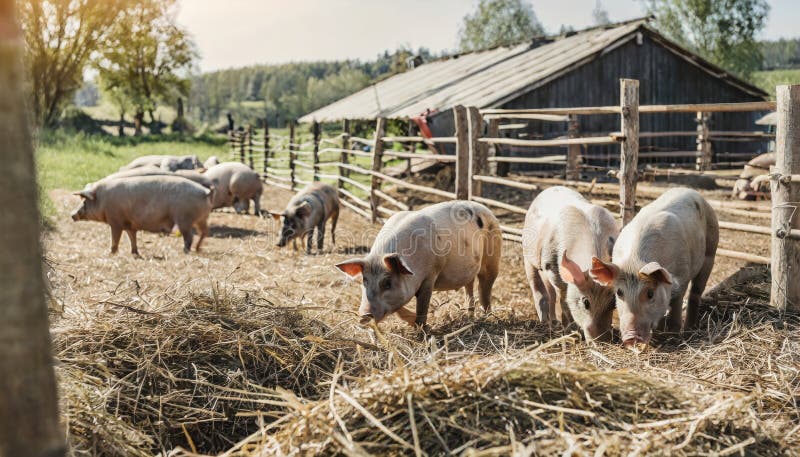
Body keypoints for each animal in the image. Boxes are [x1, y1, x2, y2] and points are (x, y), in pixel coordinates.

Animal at [71, 175, 212, 255]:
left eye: (84, 202)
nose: (72, 215)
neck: (102, 199)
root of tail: (205, 192)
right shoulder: (129, 224)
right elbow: (132, 238)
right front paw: (134, 253)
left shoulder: (116, 221)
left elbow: (115, 239)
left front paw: (110, 253)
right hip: (201, 218)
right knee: (204, 232)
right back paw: (197, 248)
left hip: (184, 218)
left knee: (189, 236)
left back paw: (185, 251)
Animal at [335, 201, 502, 328]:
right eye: (364, 281)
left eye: (387, 283)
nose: (364, 315)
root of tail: (488, 210)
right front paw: (411, 322)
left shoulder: (430, 275)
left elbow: (422, 305)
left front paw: (421, 328)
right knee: (469, 287)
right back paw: (470, 316)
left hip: (493, 259)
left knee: (485, 288)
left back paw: (487, 317)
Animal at [522, 187, 619, 341]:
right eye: (586, 302)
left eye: (613, 303)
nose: (602, 340)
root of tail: (551, 188)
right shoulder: (551, 266)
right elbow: (564, 299)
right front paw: (570, 331)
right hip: (528, 254)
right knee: (539, 288)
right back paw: (545, 323)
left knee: (550, 294)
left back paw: (554, 322)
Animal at [591, 188, 719, 348]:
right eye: (619, 293)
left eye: (650, 294)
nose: (631, 338)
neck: (635, 262)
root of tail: (691, 191)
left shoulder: (682, 275)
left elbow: (677, 304)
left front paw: (673, 336)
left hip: (711, 250)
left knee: (695, 292)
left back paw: (689, 329)